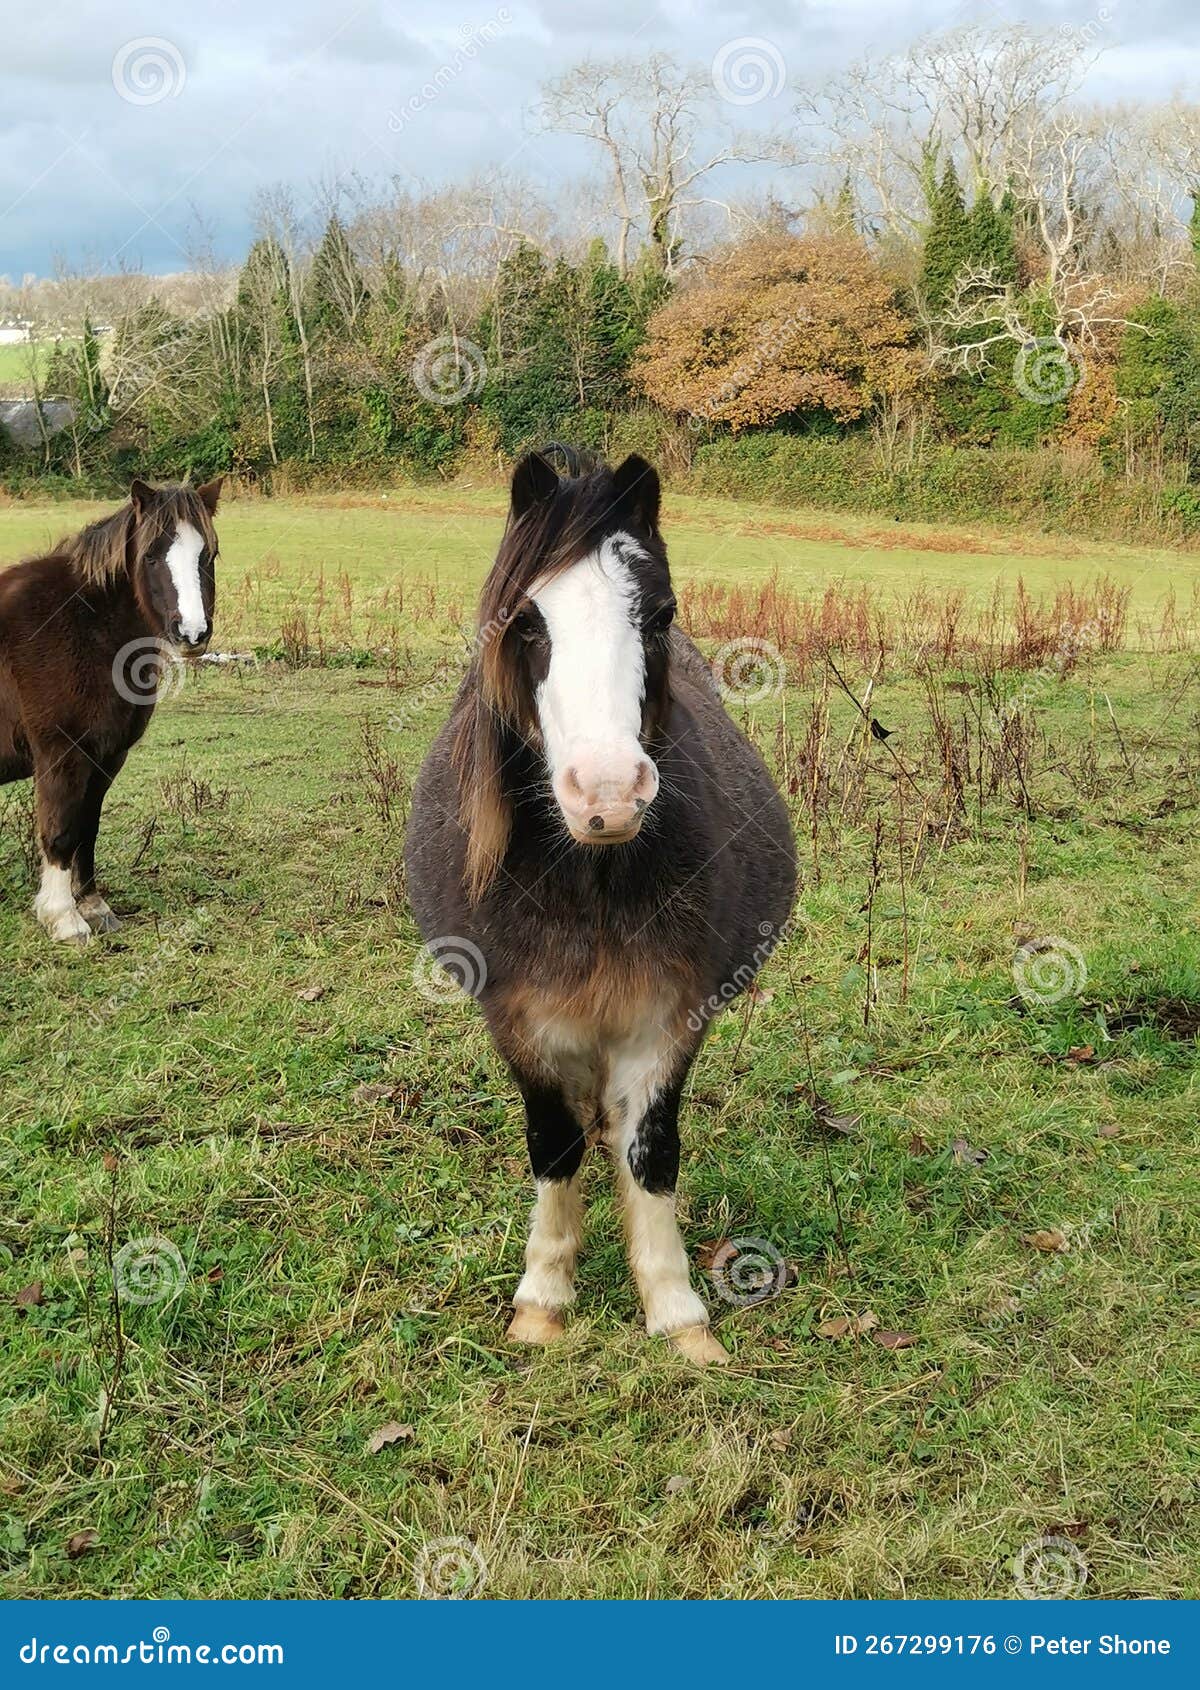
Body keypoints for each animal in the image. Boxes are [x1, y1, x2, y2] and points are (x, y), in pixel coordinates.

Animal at [0, 478, 222, 944]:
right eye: (151, 555)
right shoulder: (62, 755)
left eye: (208, 555)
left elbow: (88, 828)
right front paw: (63, 918)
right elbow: (61, 831)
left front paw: (93, 906)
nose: (192, 633)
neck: (82, 626)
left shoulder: (106, 756)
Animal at [405, 449, 795, 1364]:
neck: (591, 881)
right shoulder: (522, 1024)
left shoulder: (668, 1023)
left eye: (660, 614)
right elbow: (555, 1147)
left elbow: (650, 1151)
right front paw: (544, 1299)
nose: (609, 795)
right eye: (527, 621)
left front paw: (676, 1310)